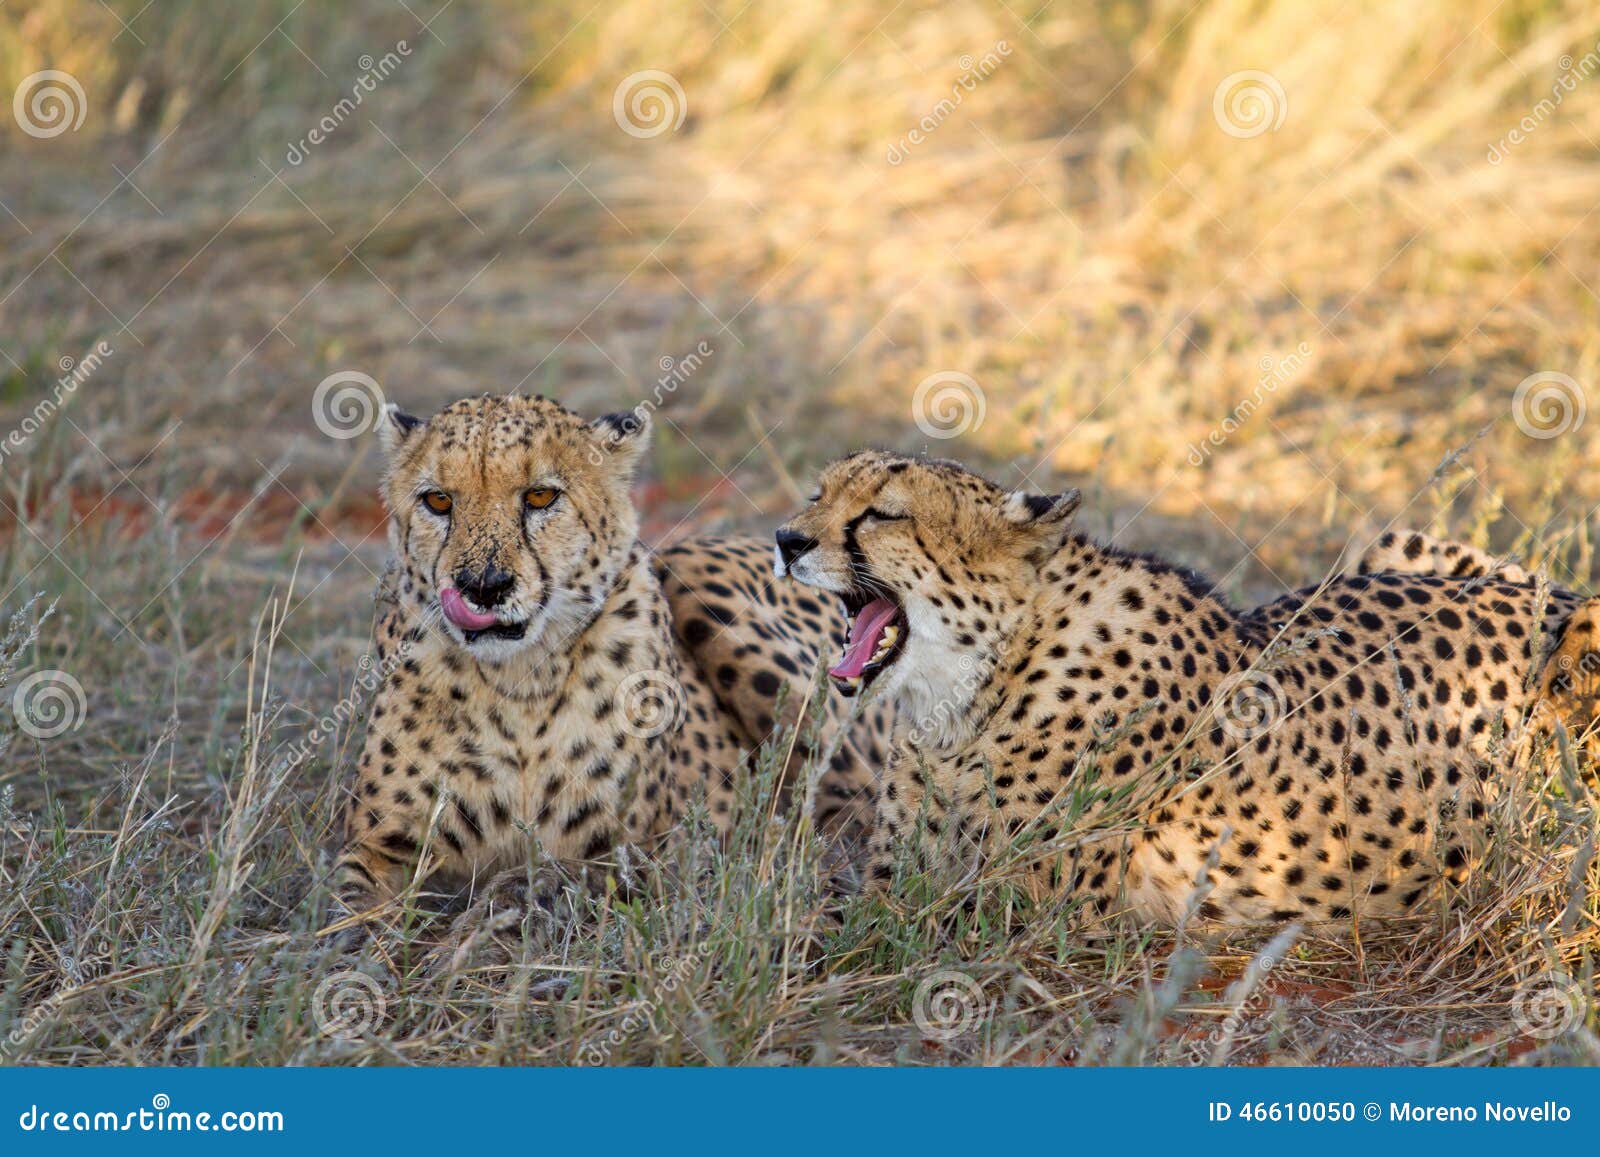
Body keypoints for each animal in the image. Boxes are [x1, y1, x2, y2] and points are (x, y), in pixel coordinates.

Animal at [331, 395, 891, 917]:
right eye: (438, 500)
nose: (482, 586)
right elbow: (343, 913)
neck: (519, 681)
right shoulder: (377, 847)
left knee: (856, 810)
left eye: (541, 496)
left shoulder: (640, 854)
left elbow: (548, 879)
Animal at [771, 449, 1595, 926]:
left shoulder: (1013, 909)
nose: (786, 538)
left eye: (882, 514)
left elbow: (840, 930)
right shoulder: (897, 868)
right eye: (816, 492)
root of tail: (1550, 591)